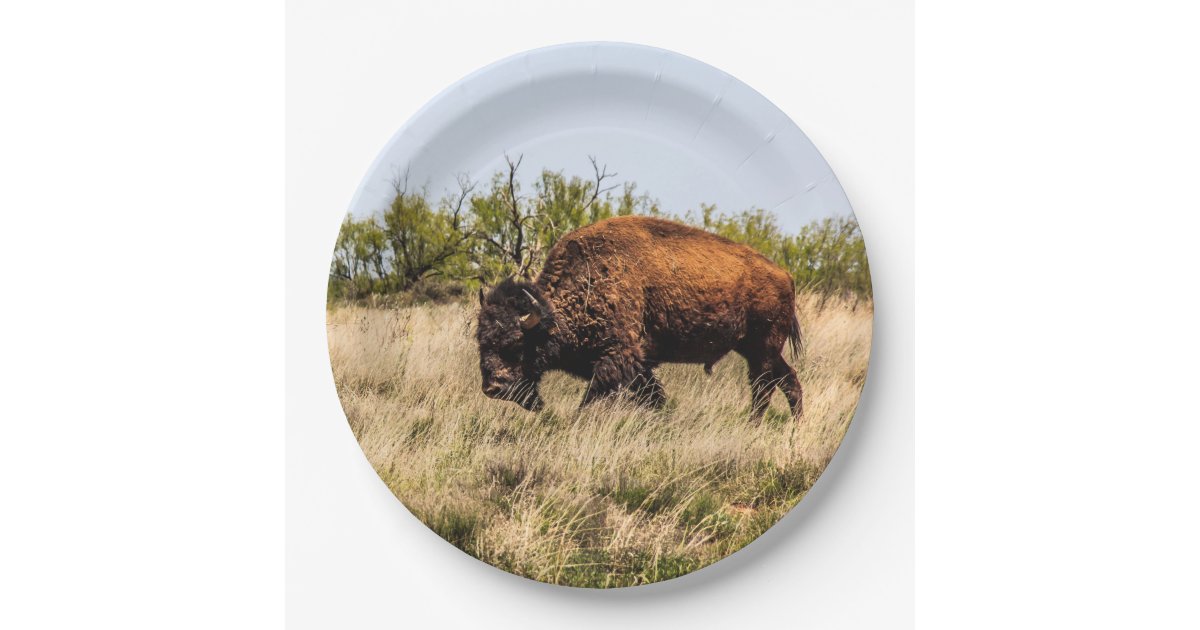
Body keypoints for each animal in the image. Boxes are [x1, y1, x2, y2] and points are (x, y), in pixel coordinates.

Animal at [476, 215, 803, 420]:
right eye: (481, 343)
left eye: (516, 344)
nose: (493, 389)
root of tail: (785, 275)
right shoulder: (637, 365)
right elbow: (653, 396)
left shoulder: (617, 359)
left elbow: (593, 398)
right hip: (757, 349)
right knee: (788, 381)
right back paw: (795, 424)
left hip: (762, 349)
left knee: (763, 388)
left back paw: (754, 424)